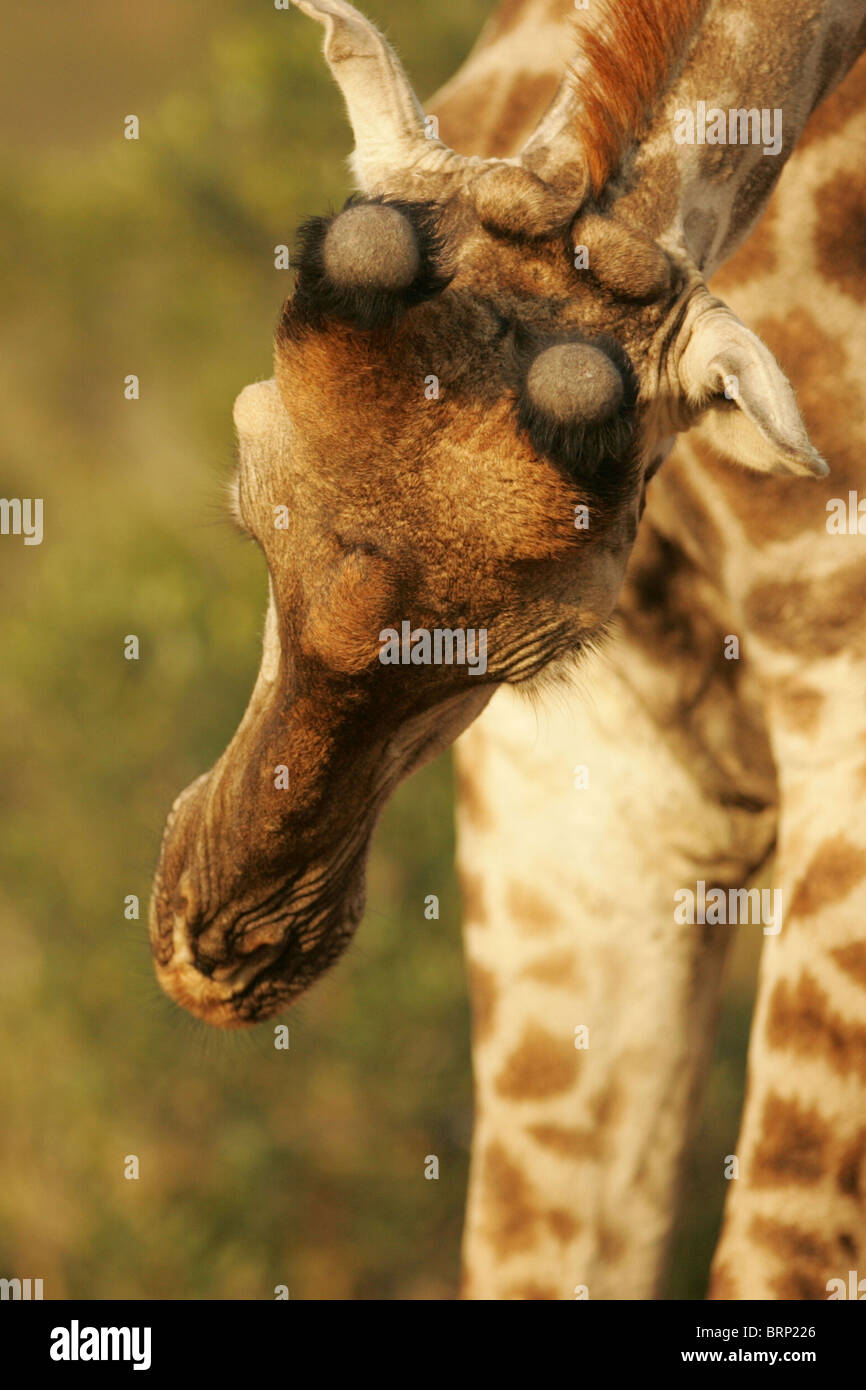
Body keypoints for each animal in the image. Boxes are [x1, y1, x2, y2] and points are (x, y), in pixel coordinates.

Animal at [149, 0, 866, 1299]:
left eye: (533, 652)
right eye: (249, 503)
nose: (226, 955)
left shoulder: (846, 706)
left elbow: (778, 1242)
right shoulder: (592, 784)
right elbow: (539, 1242)